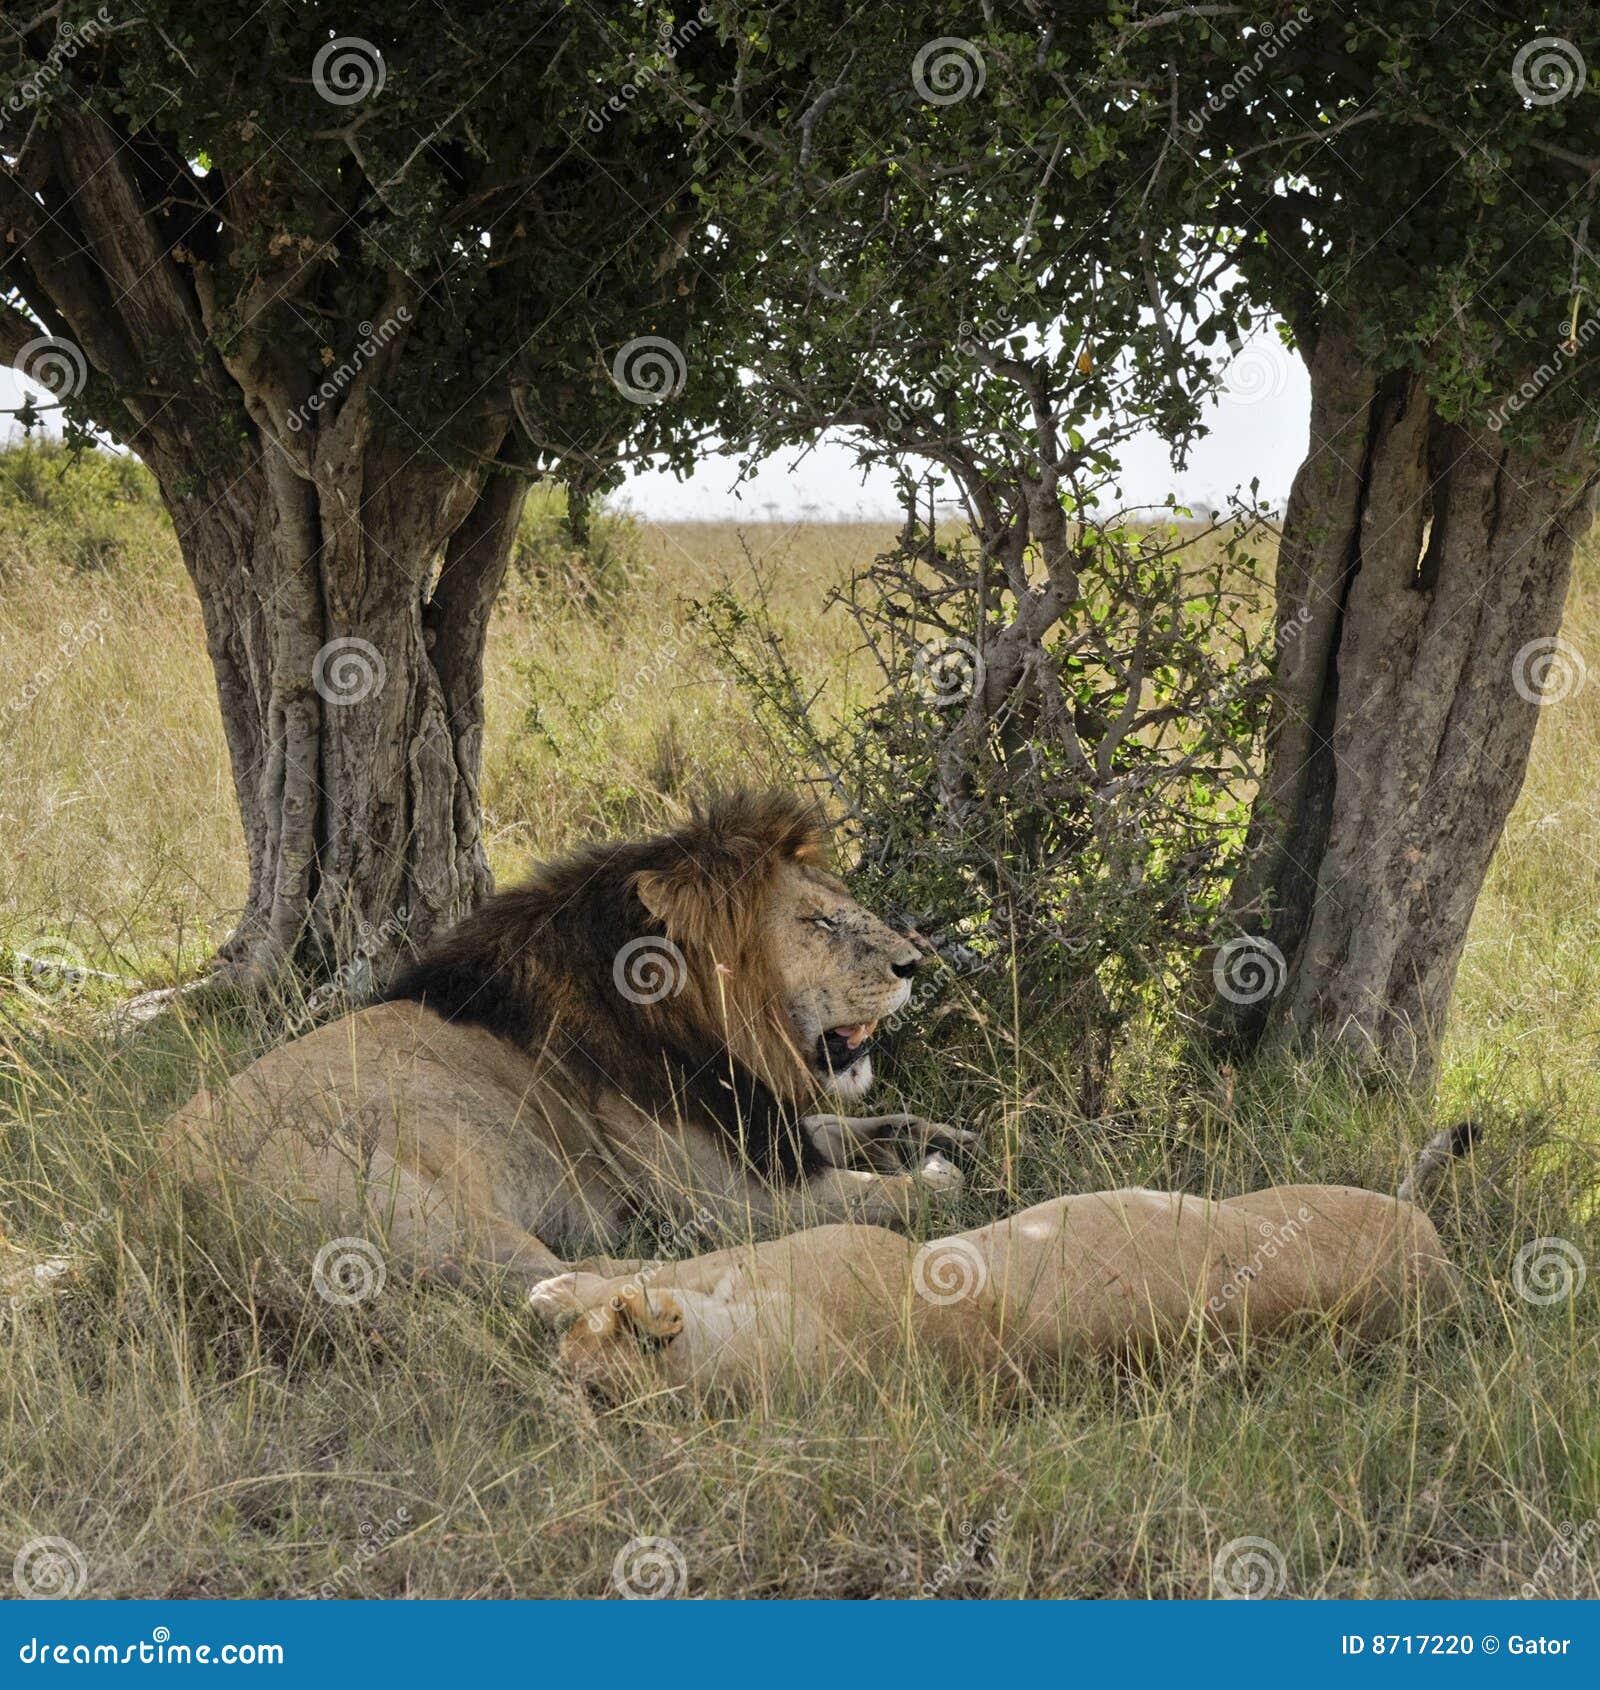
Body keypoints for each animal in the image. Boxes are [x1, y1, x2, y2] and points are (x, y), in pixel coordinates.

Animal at [165, 792, 969, 1283]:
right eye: (819, 923)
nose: (915, 962)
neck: (686, 1024)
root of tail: (163, 1190)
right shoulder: (738, 1192)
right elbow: (906, 1193)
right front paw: (936, 1172)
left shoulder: (756, 1124)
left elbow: (853, 1123)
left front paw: (942, 1134)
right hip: (428, 1205)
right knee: (566, 1278)